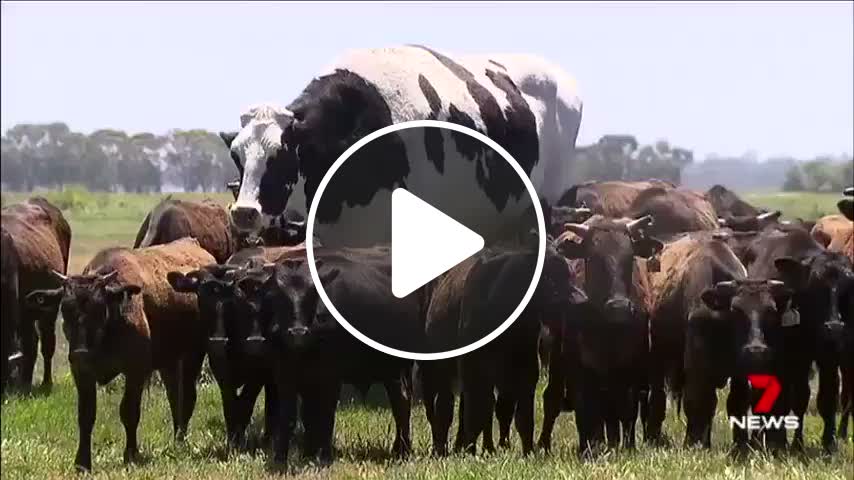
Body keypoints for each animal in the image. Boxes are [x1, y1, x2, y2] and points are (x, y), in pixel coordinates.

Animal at [24, 238, 215, 472]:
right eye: (65, 310)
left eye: (99, 309)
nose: (80, 353)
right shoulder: (82, 373)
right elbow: (86, 416)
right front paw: (82, 462)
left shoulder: (136, 371)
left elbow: (129, 412)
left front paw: (131, 454)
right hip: (168, 362)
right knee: (174, 397)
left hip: (192, 356)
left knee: (187, 396)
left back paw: (180, 441)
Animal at [236, 247, 420, 468]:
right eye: (276, 296)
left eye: (313, 295)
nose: (298, 332)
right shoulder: (285, 373)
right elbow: (294, 415)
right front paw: (287, 457)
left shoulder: (331, 375)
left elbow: (326, 414)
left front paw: (323, 456)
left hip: (394, 367)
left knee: (401, 402)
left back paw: (403, 451)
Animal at [545, 214, 663, 455]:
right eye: (593, 259)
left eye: (630, 258)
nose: (619, 307)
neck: (609, 332)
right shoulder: (581, 369)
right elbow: (588, 411)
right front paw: (593, 448)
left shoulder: (630, 368)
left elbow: (626, 410)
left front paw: (626, 446)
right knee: (552, 399)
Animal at [643, 234, 796, 451]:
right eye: (735, 311)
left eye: (771, 312)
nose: (756, 350)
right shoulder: (696, 367)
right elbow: (698, 401)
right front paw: (694, 443)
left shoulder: (740, 373)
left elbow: (737, 402)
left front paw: (740, 446)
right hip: (658, 356)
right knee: (658, 395)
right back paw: (653, 436)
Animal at [746, 226, 854, 453]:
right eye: (814, 286)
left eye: (849, 288)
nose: (834, 327)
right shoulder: (794, 359)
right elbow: (798, 399)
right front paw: (795, 443)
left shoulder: (829, 357)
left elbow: (827, 398)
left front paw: (829, 443)